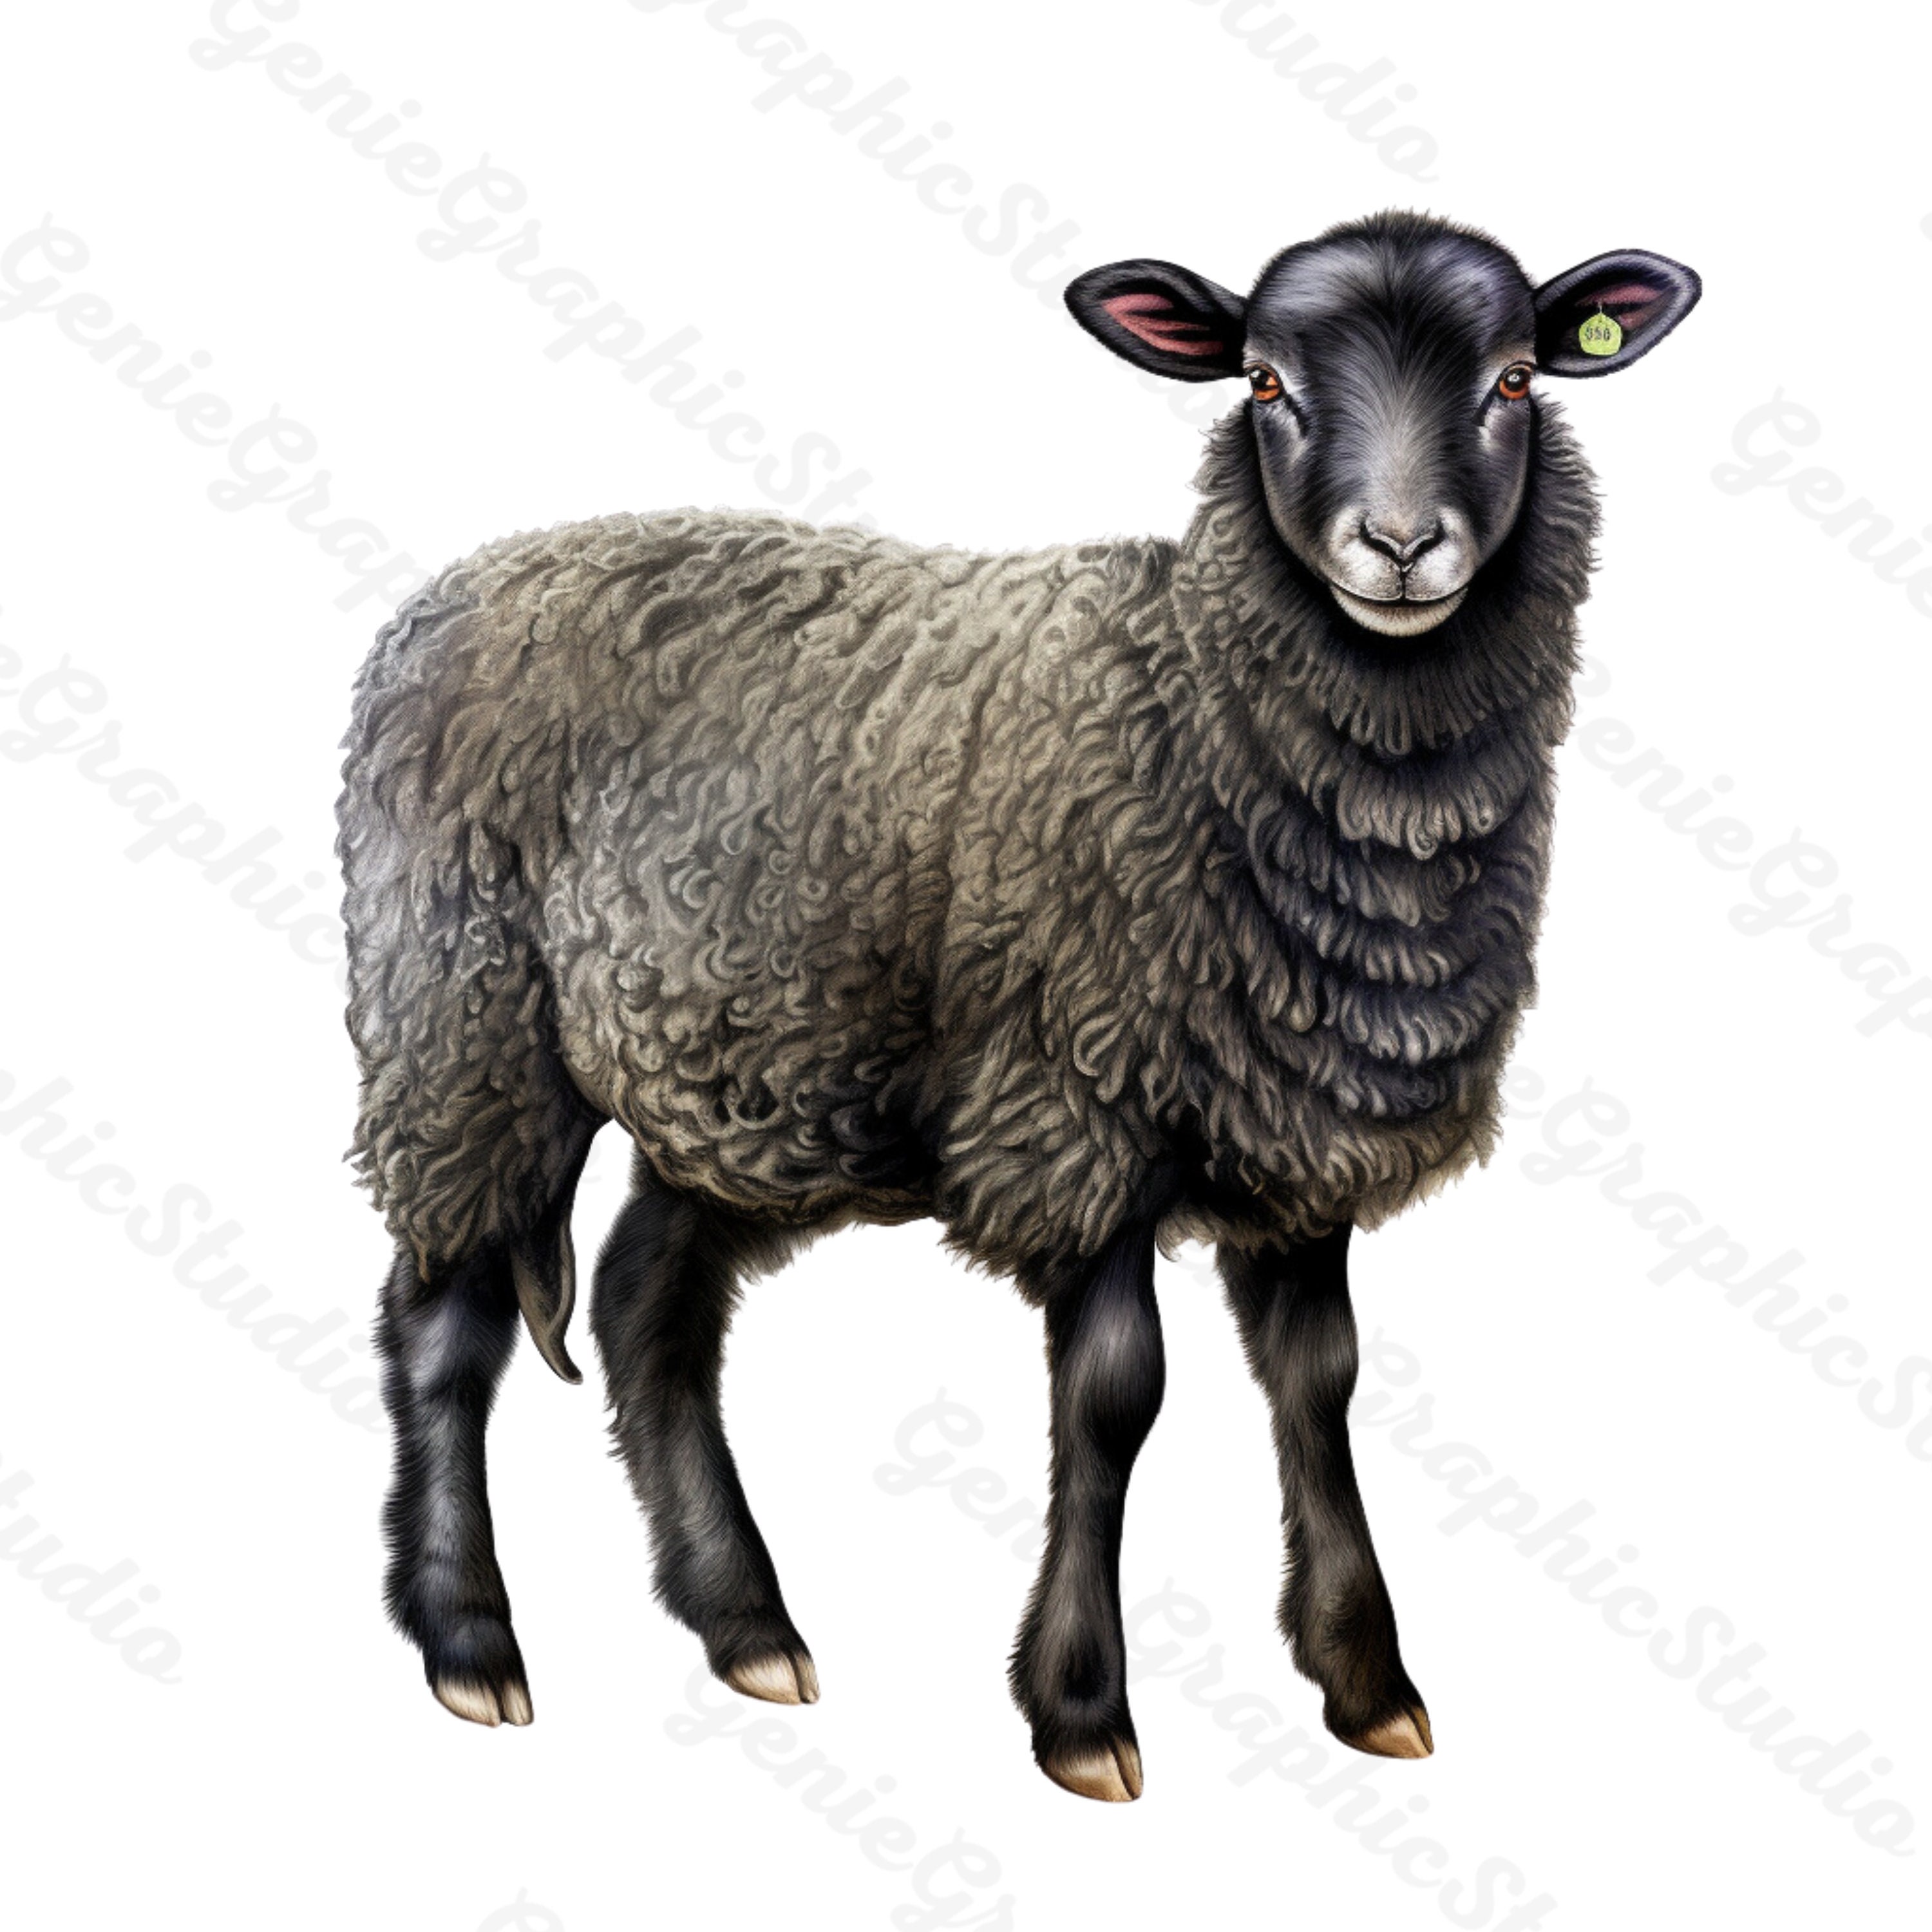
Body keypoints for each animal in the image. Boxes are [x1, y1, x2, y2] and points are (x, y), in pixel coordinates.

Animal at [337, 209, 1700, 1801]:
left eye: (1515, 378)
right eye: (1263, 384)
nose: (1405, 546)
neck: (1203, 714)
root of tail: (469, 580)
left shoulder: (1299, 1128)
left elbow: (1322, 1384)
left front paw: (1368, 1684)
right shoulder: (1079, 1108)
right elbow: (1117, 1396)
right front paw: (1083, 1714)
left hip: (741, 1074)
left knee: (641, 1304)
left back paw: (746, 1625)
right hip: (462, 1021)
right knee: (445, 1325)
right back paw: (469, 1645)